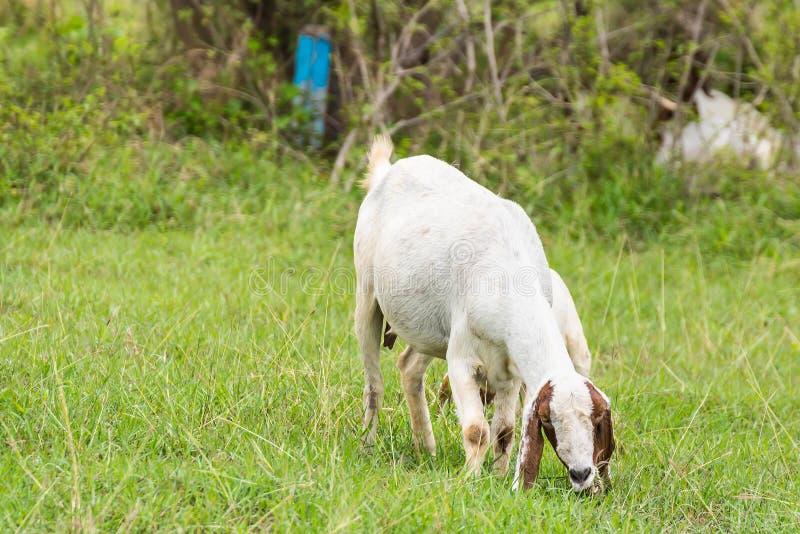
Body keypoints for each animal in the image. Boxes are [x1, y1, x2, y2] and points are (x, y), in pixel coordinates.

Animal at [353, 136, 614, 491]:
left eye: (596, 419)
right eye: (549, 420)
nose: (581, 473)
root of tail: (387, 170)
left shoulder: (509, 371)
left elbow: (504, 431)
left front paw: (500, 478)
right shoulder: (462, 359)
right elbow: (477, 430)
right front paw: (470, 480)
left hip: (430, 331)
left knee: (409, 367)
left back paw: (426, 449)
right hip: (367, 296)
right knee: (374, 385)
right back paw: (367, 444)